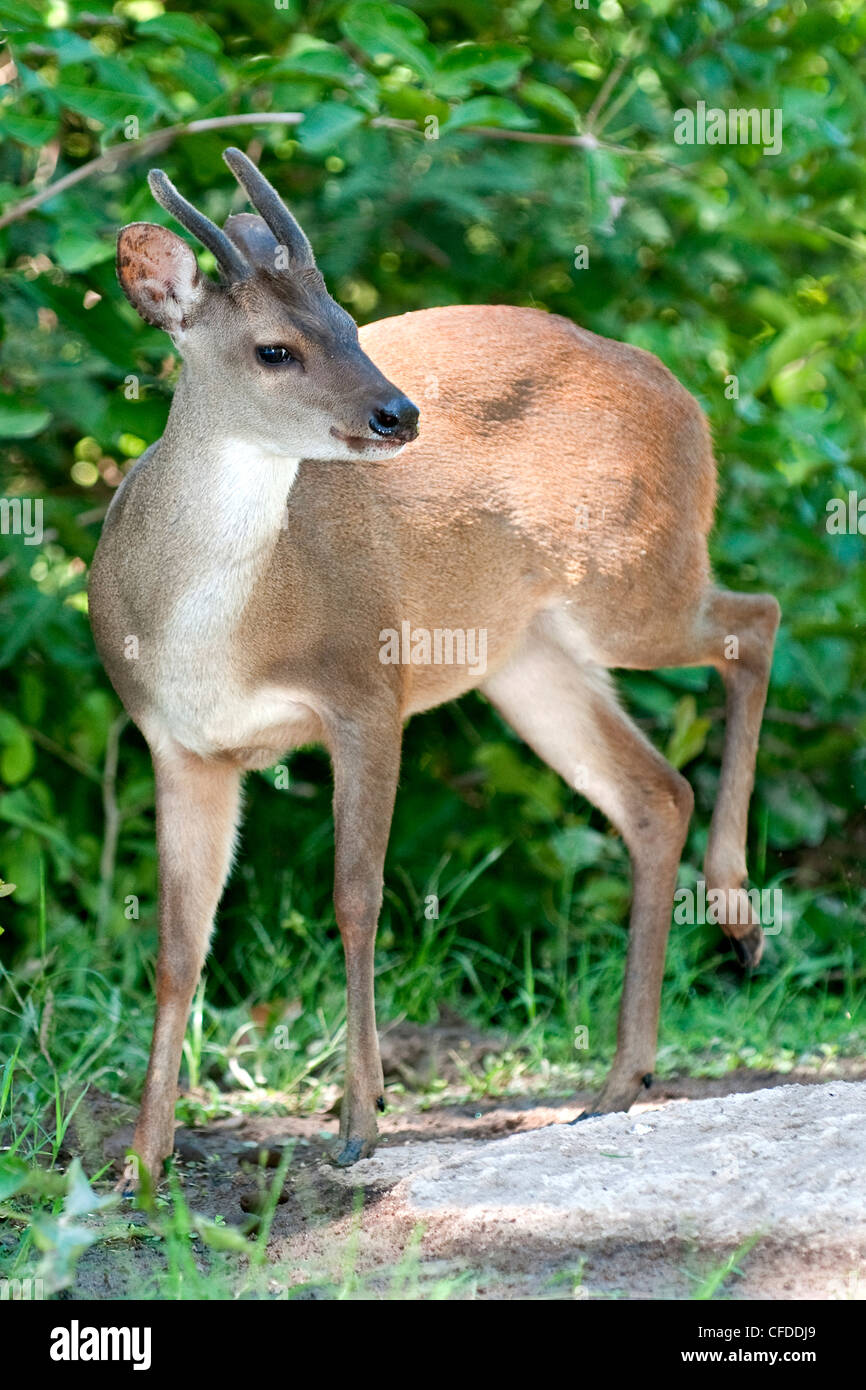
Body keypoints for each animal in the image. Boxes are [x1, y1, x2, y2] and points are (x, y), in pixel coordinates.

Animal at [89, 152, 783, 1195]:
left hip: (628, 578)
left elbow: (356, 896)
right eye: (274, 349)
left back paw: (738, 919)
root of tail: (686, 394)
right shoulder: (179, 744)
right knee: (656, 790)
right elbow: (178, 945)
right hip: (525, 653)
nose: (398, 411)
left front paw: (359, 1121)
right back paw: (620, 1082)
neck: (217, 630)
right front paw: (141, 1161)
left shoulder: (366, 690)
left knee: (755, 622)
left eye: (346, 319)